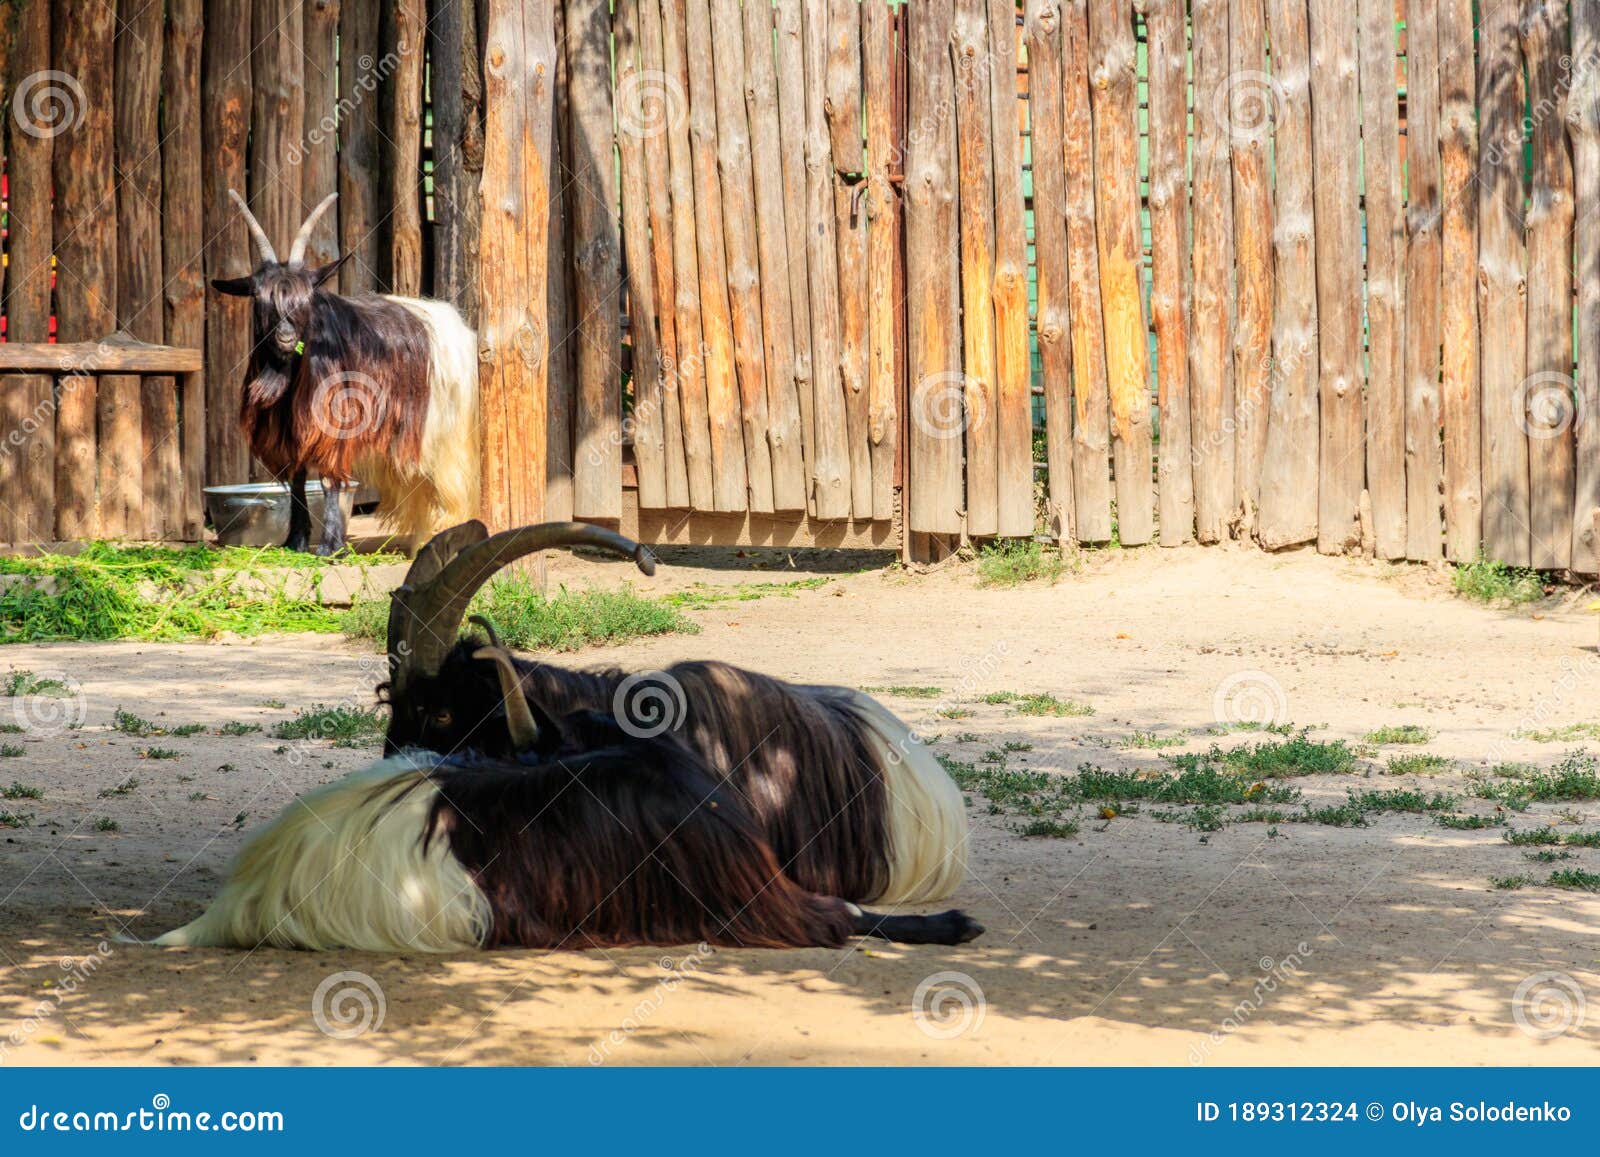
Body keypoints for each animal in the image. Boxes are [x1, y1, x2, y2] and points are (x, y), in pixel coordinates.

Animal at [212, 191, 478, 555]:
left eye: (304, 300)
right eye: (260, 299)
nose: (286, 337)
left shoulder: (335, 423)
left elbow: (329, 479)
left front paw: (329, 545)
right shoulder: (291, 432)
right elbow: (298, 479)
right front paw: (296, 540)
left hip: (439, 428)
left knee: (444, 481)